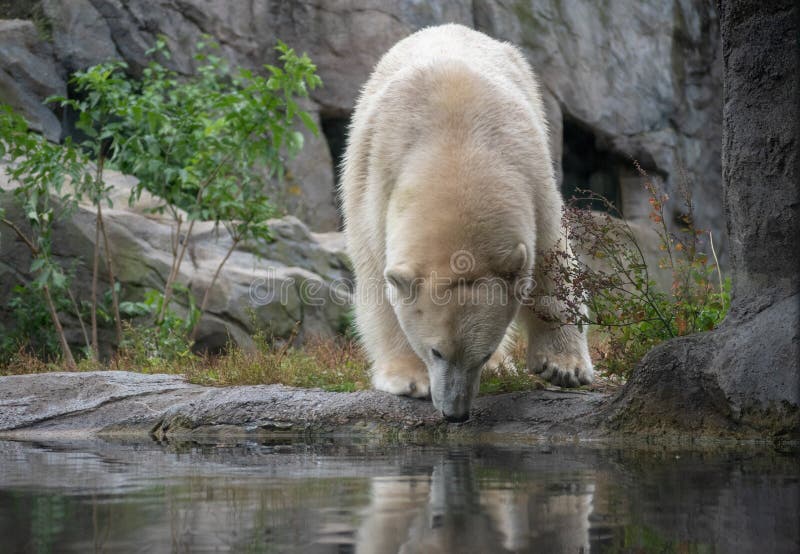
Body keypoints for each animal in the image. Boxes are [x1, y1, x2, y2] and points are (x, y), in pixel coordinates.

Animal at [341, 24, 593, 422]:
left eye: (482, 353)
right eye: (435, 351)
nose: (454, 412)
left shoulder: (533, 175)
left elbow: (552, 259)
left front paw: (563, 366)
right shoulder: (377, 177)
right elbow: (378, 282)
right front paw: (408, 379)